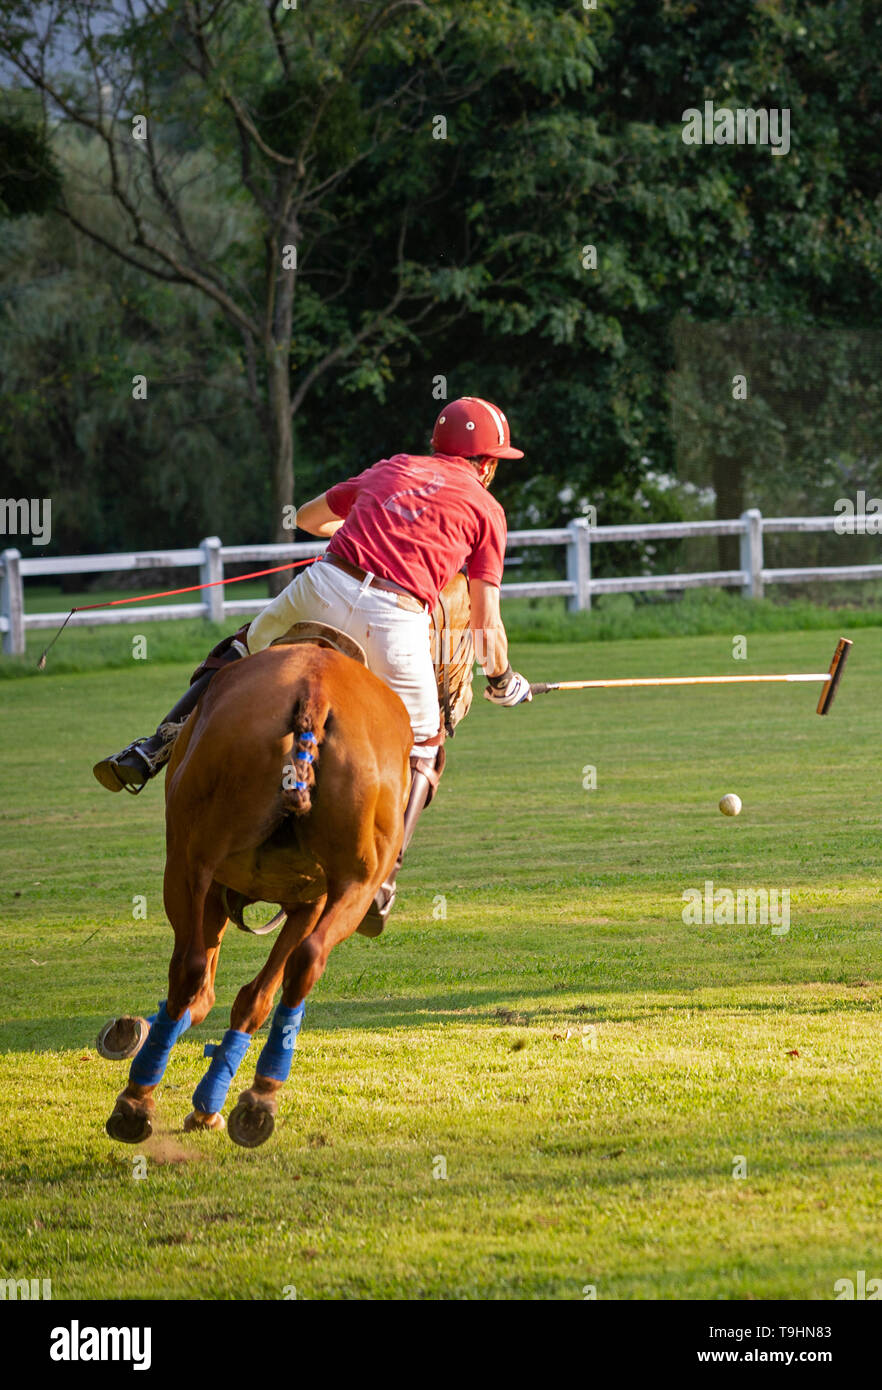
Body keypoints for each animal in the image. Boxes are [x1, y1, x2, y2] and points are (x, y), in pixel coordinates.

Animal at [96, 572, 473, 1149]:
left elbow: (226, 995)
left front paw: (197, 1096)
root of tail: (315, 694)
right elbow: (239, 994)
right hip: (334, 882)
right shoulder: (292, 897)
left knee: (197, 969)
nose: (467, 698)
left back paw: (147, 1100)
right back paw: (253, 1097)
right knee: (298, 962)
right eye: (470, 627)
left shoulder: (244, 890)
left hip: (191, 863)